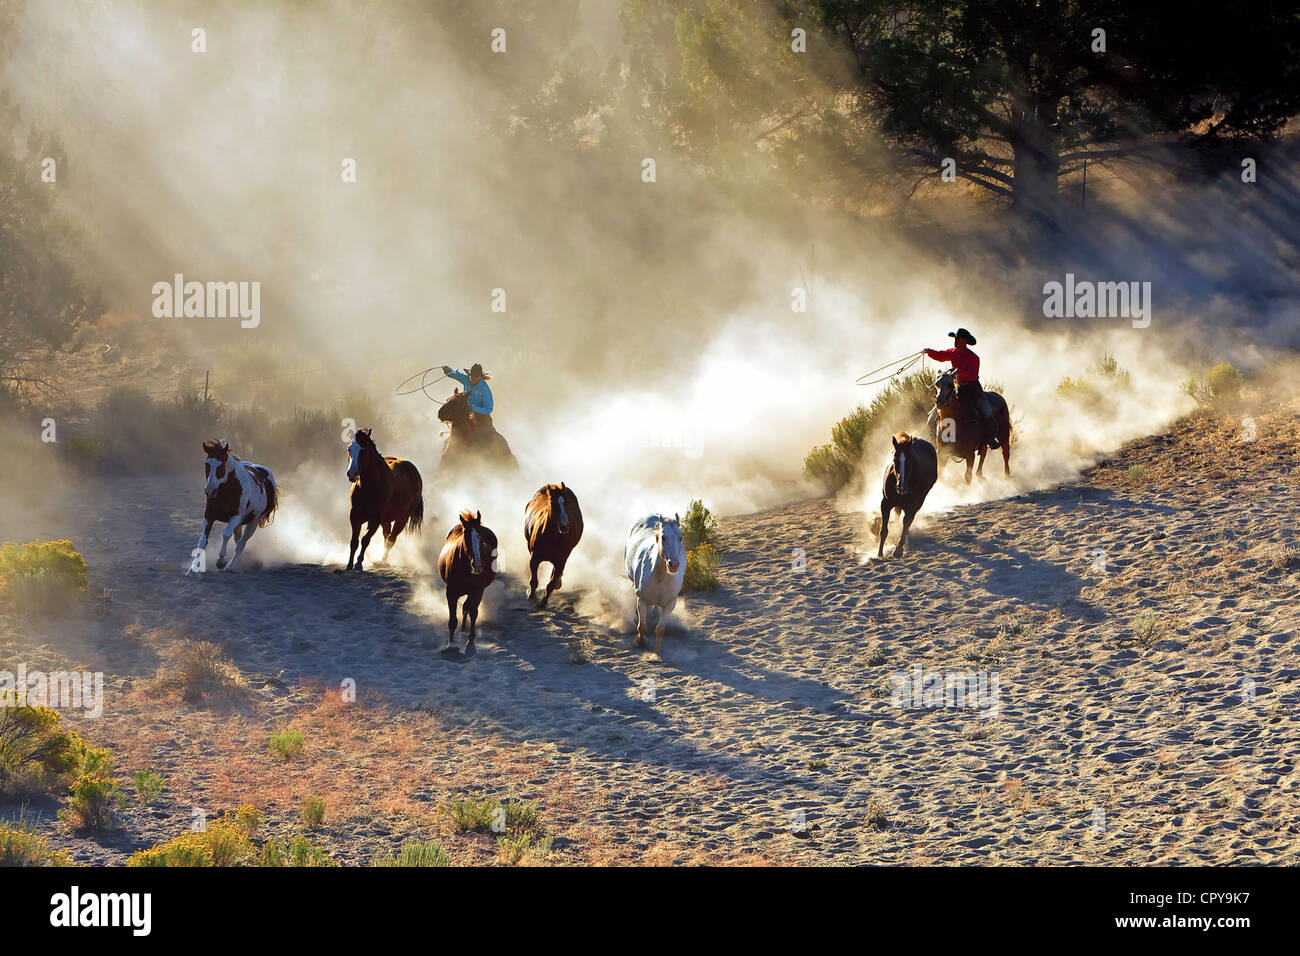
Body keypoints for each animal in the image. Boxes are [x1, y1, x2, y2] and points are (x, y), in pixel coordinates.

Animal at [195, 439, 278, 572]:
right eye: (206, 464)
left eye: (221, 465)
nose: (210, 490)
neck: (227, 491)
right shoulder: (209, 515)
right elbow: (202, 541)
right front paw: (193, 568)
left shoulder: (236, 517)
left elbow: (226, 534)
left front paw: (221, 561)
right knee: (238, 539)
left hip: (253, 522)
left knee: (241, 542)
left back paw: (230, 565)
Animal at [345, 427, 424, 571]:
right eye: (349, 449)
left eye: (363, 450)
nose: (351, 473)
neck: (369, 487)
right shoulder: (354, 515)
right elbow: (354, 541)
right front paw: (349, 565)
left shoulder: (375, 518)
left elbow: (365, 539)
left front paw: (358, 564)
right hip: (385, 520)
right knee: (386, 535)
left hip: (402, 518)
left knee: (391, 539)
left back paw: (382, 561)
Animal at [437, 510, 498, 651]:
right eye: (466, 536)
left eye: (480, 536)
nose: (477, 565)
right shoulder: (451, 592)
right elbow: (453, 620)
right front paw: (451, 644)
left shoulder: (478, 591)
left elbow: (473, 612)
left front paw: (470, 642)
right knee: (465, 606)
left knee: (467, 607)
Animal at [625, 514, 687, 659]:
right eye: (663, 537)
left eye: (680, 537)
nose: (673, 564)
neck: (659, 576)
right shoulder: (642, 600)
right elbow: (642, 627)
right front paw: (639, 642)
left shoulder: (670, 604)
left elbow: (660, 629)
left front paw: (656, 655)